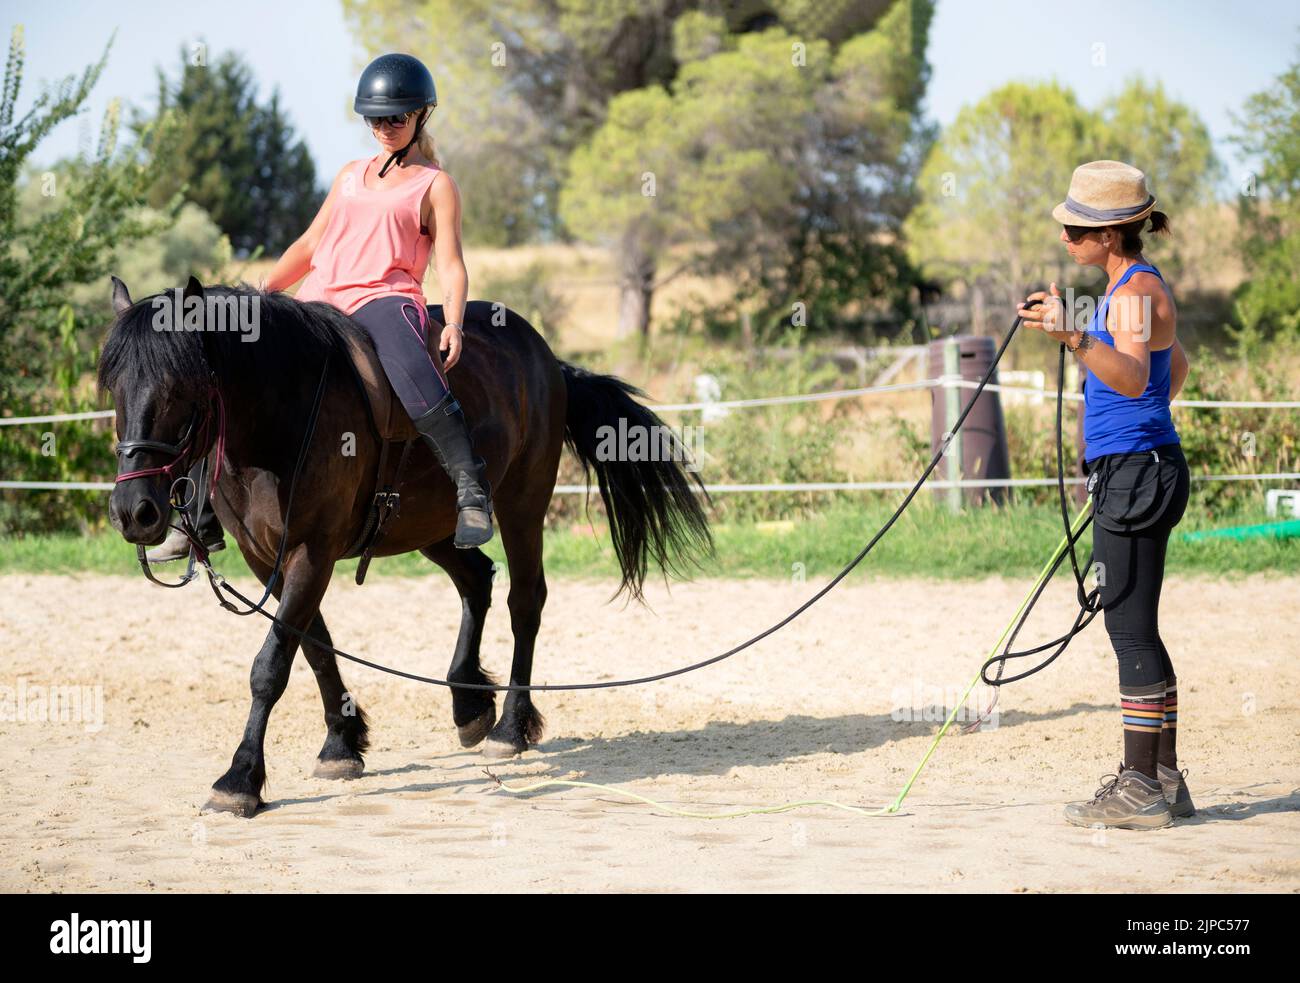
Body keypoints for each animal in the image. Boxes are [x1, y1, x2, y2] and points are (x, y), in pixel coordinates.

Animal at [99, 276, 713, 817]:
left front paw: (240, 779)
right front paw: (341, 744)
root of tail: (546, 357)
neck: (283, 418)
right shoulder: (267, 557)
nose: (135, 513)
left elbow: (271, 665)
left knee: (525, 602)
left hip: (522, 505)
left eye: (182, 388)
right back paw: (469, 703)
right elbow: (314, 649)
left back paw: (510, 726)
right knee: (476, 579)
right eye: (114, 389)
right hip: (431, 527)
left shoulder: (312, 551)